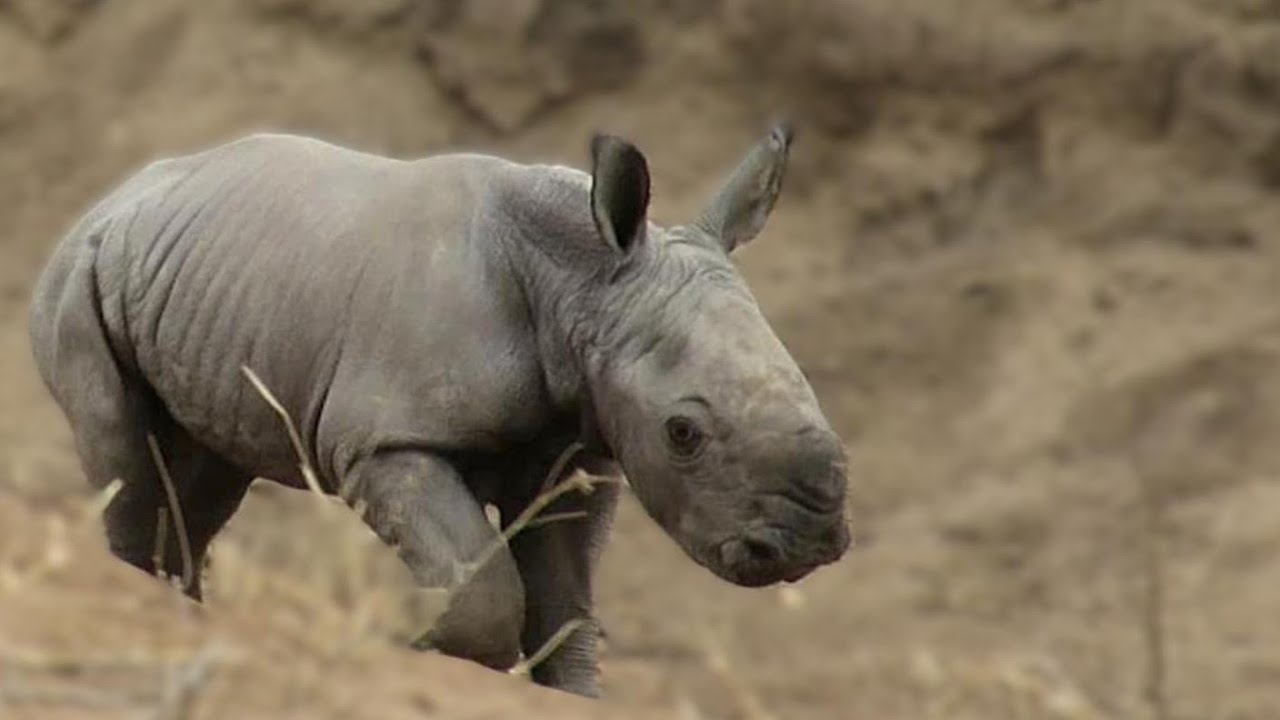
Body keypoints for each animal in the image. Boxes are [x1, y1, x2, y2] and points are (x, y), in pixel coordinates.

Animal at [28, 124, 851, 696]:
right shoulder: (388, 440)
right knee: (125, 461)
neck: (585, 285)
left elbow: (565, 600)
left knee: (203, 477)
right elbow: (484, 585)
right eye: (684, 433)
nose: (806, 545)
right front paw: (422, 645)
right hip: (78, 275)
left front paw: (572, 691)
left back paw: (185, 606)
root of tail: (116, 196)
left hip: (205, 281)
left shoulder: (579, 451)